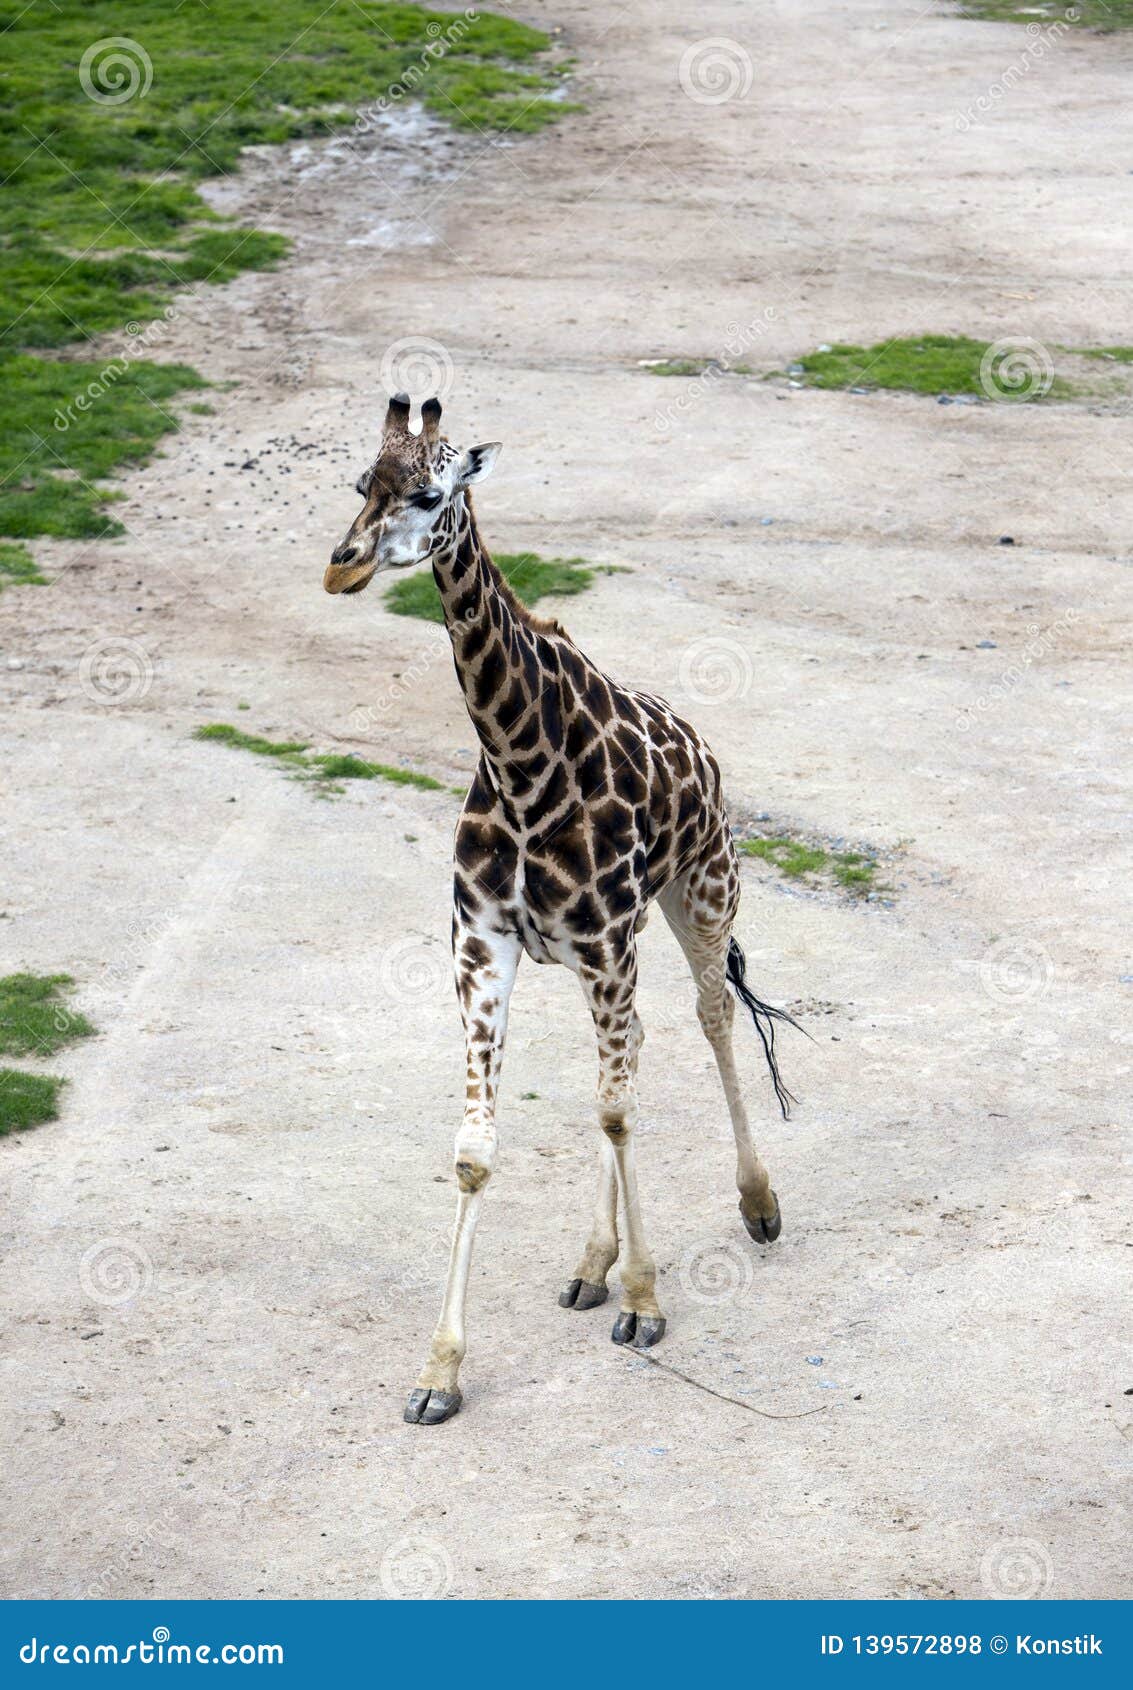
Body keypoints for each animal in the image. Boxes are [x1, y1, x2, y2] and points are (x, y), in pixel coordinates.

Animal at [324, 393, 800, 1425]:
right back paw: (591, 1263)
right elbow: (477, 1149)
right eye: (359, 483)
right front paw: (439, 1373)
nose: (341, 564)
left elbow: (617, 1112)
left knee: (709, 1019)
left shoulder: (605, 940)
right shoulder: (482, 944)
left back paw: (757, 1205)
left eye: (429, 493)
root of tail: (700, 744)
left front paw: (647, 1304)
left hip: (699, 891)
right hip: (620, 943)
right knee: (641, 1051)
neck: (520, 761)